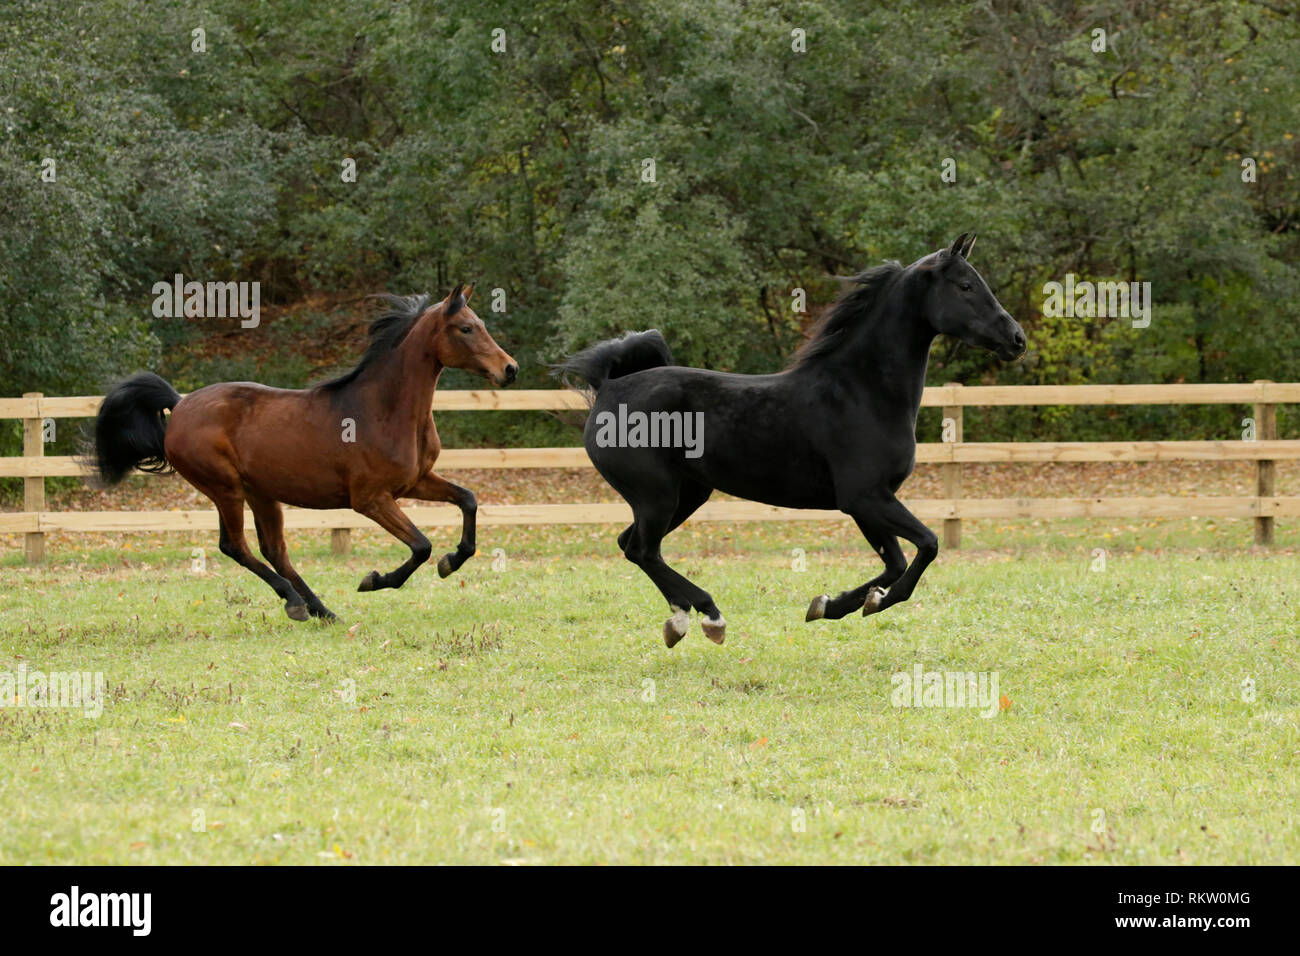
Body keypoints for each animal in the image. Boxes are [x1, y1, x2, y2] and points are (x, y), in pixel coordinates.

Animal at [86, 285, 517, 622]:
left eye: (481, 324)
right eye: (466, 328)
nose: (510, 369)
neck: (384, 408)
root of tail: (179, 404)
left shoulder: (415, 482)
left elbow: (468, 500)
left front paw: (452, 561)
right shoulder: (370, 499)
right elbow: (421, 545)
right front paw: (375, 580)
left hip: (260, 493)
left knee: (274, 550)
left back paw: (321, 610)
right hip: (225, 488)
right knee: (236, 546)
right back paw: (296, 603)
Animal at [557, 234, 1026, 647]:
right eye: (965, 286)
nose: (1017, 339)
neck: (862, 391)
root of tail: (609, 387)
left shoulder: (868, 504)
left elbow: (894, 564)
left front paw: (832, 604)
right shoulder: (865, 497)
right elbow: (926, 546)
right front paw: (860, 603)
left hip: (686, 494)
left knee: (631, 546)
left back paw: (680, 620)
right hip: (656, 496)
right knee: (644, 550)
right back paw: (710, 617)